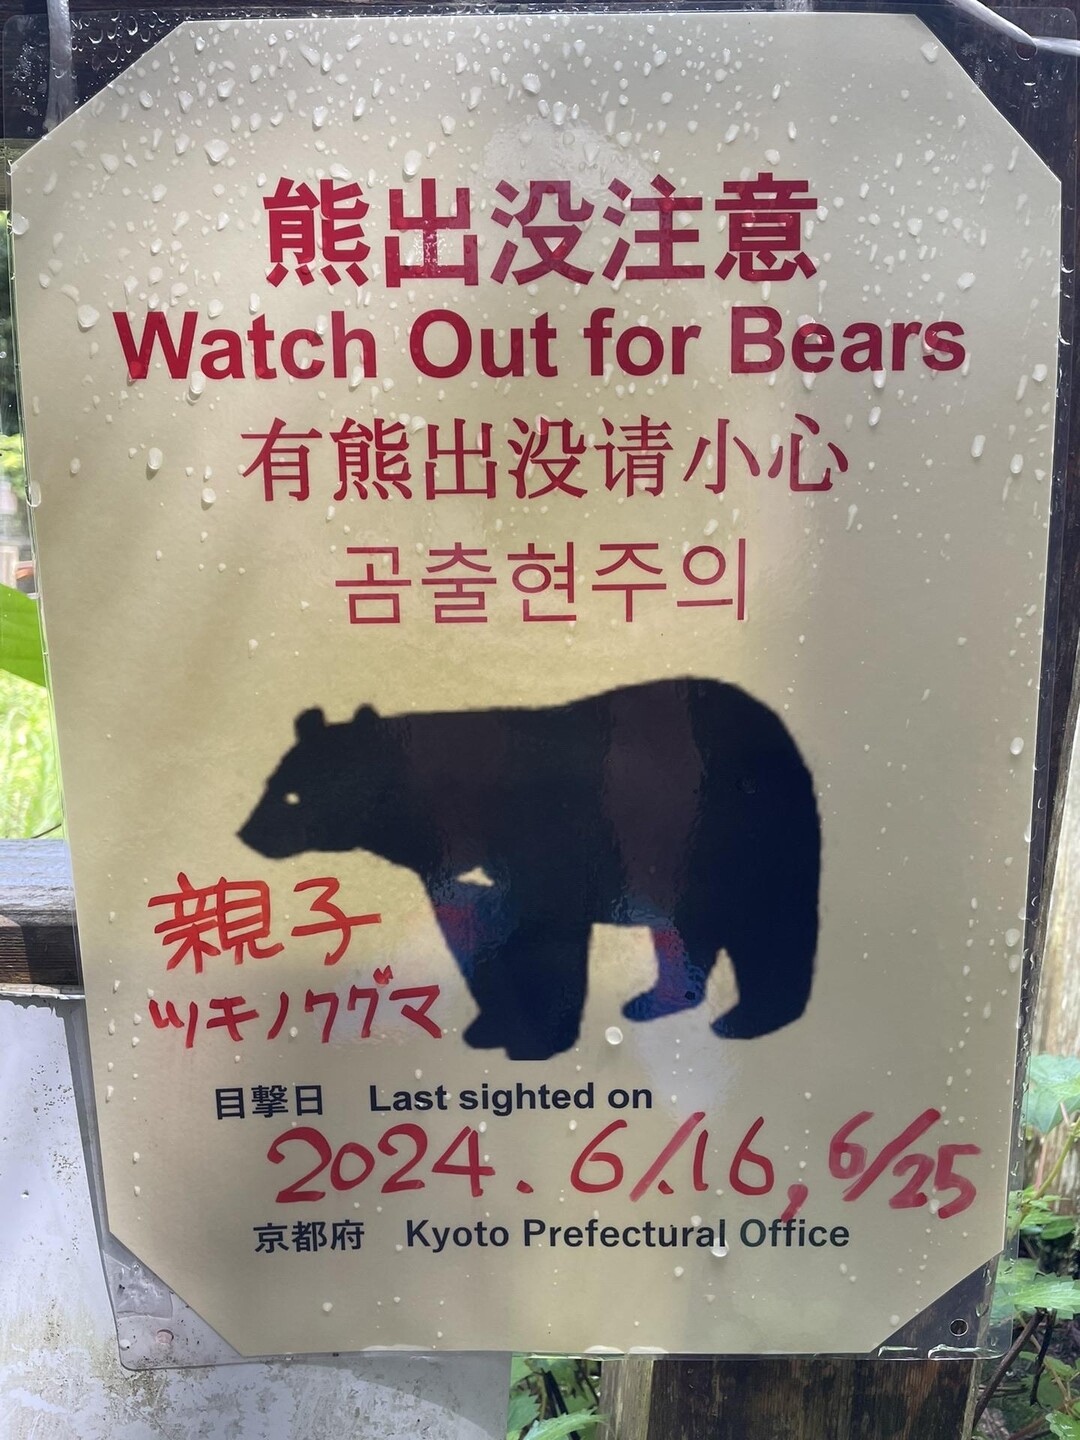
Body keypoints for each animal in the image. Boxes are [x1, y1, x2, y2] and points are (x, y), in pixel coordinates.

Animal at [238, 677, 821, 1061]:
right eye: (270, 783)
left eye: (291, 795)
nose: (247, 834)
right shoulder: (454, 876)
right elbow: (472, 936)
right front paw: (489, 1029)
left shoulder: (540, 845)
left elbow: (546, 941)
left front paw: (537, 1041)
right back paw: (658, 1000)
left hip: (741, 832)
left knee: (771, 925)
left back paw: (747, 1019)